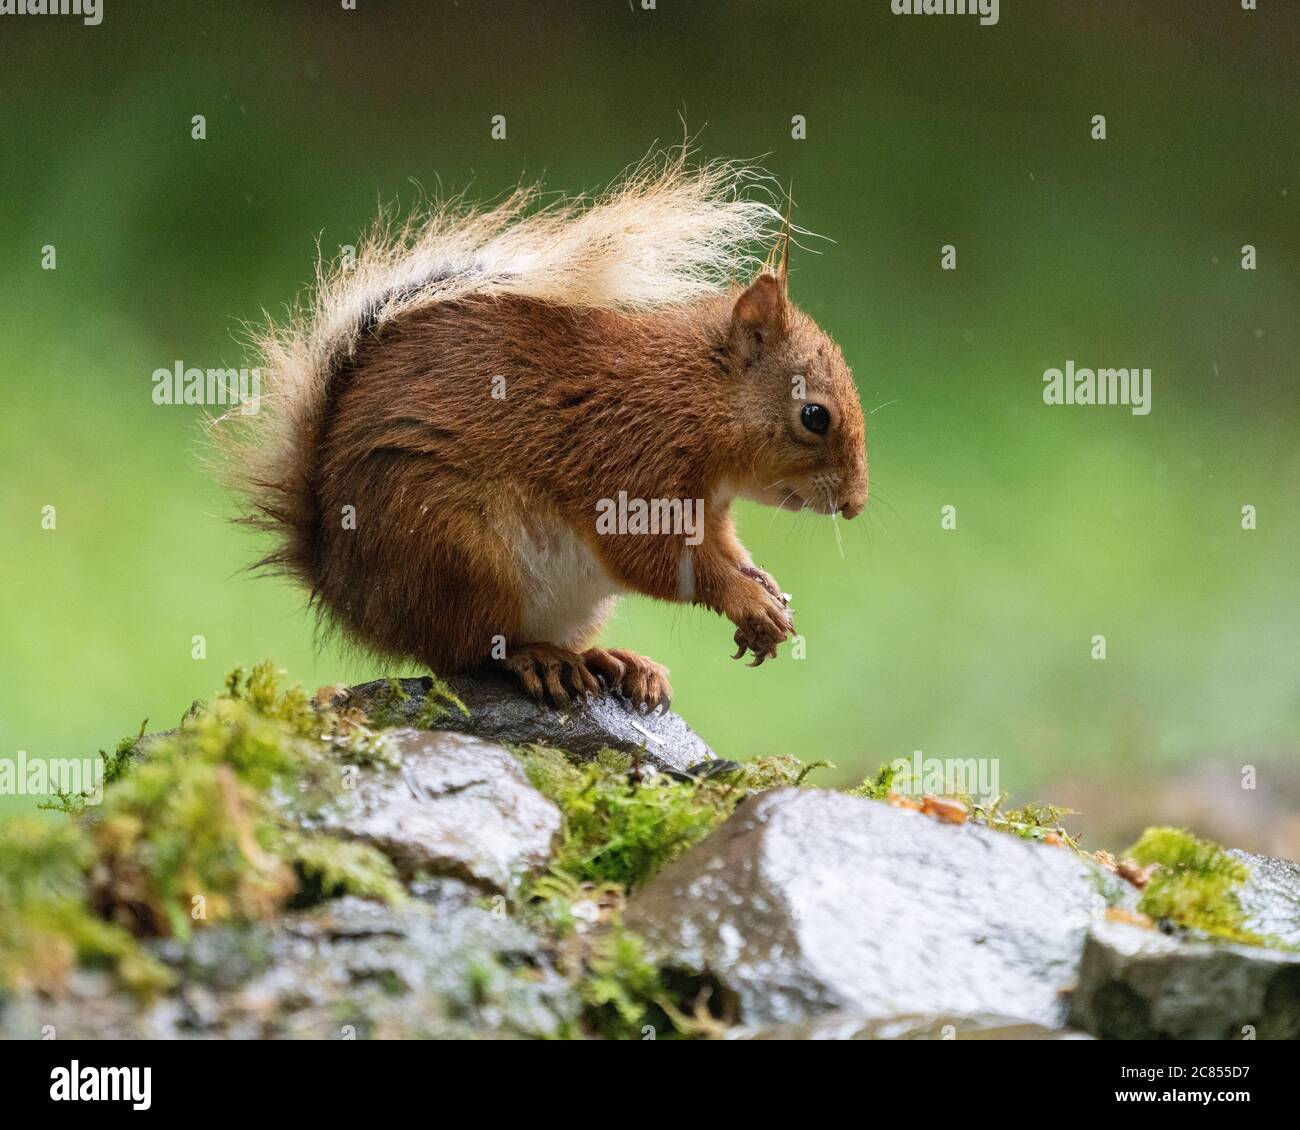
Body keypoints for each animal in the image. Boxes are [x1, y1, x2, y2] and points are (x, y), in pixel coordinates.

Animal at [223, 156, 867, 710]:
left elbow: (725, 549)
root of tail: (343, 589)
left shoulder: (708, 509)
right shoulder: (631, 466)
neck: (689, 400)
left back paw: (615, 660)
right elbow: (659, 560)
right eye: (815, 417)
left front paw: (764, 584)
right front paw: (747, 600)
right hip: (460, 553)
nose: (857, 506)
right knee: (463, 653)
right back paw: (538, 659)